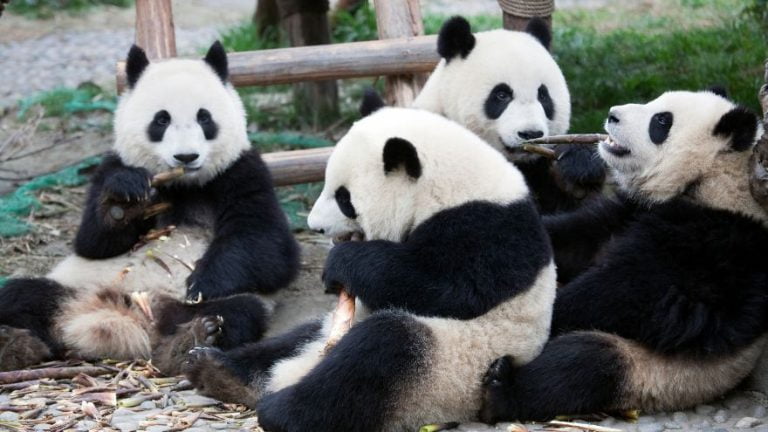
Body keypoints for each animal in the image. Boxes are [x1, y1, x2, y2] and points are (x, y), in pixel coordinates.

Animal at [0, 42, 299, 374]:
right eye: (161, 120)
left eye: (204, 118)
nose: (186, 157)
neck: (183, 184)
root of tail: (119, 317)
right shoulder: (110, 167)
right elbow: (91, 242)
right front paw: (123, 202)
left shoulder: (241, 172)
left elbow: (269, 248)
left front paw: (202, 283)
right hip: (73, 284)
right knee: (19, 294)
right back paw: (14, 345)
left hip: (203, 305)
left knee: (237, 312)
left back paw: (191, 340)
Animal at [180, 106, 557, 431]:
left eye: (344, 197)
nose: (315, 227)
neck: (453, 185)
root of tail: (298, 370)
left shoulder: (488, 228)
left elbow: (450, 289)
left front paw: (342, 263)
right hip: (332, 331)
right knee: (290, 341)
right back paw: (213, 366)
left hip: (452, 370)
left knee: (378, 351)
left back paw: (280, 411)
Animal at [479, 89, 768, 422]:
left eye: (661, 122)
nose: (613, 114)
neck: (711, 178)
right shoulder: (629, 211)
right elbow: (574, 238)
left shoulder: (718, 244)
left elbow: (635, 295)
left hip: (655, 374)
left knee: (583, 364)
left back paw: (500, 391)